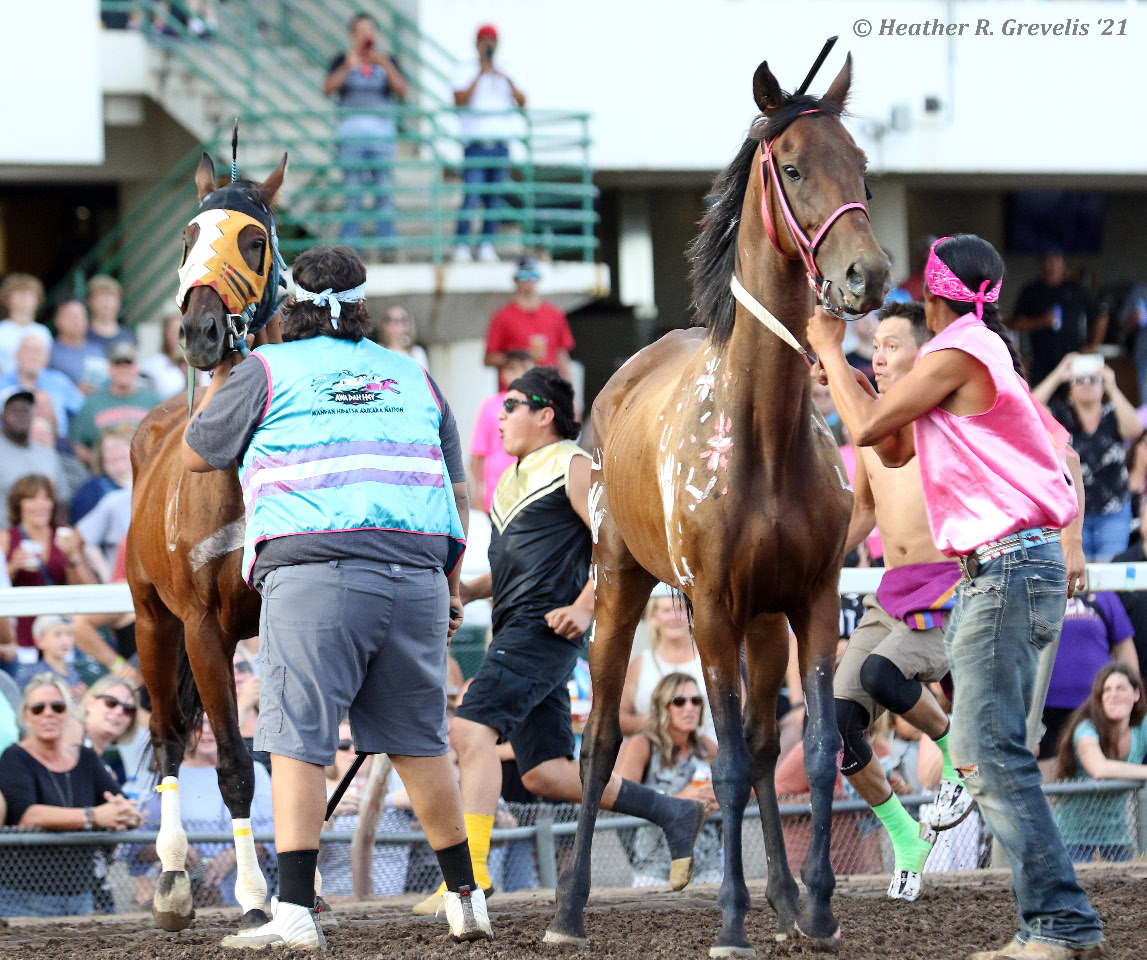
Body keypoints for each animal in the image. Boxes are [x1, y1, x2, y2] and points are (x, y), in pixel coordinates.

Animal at [545, 52, 889, 957]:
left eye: (862, 165)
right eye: (793, 167)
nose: (866, 274)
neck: (761, 435)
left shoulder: (808, 600)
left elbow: (811, 743)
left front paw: (817, 907)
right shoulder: (708, 609)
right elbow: (724, 761)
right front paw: (730, 918)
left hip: (762, 624)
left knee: (770, 746)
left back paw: (784, 899)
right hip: (622, 583)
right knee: (599, 742)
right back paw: (567, 909)